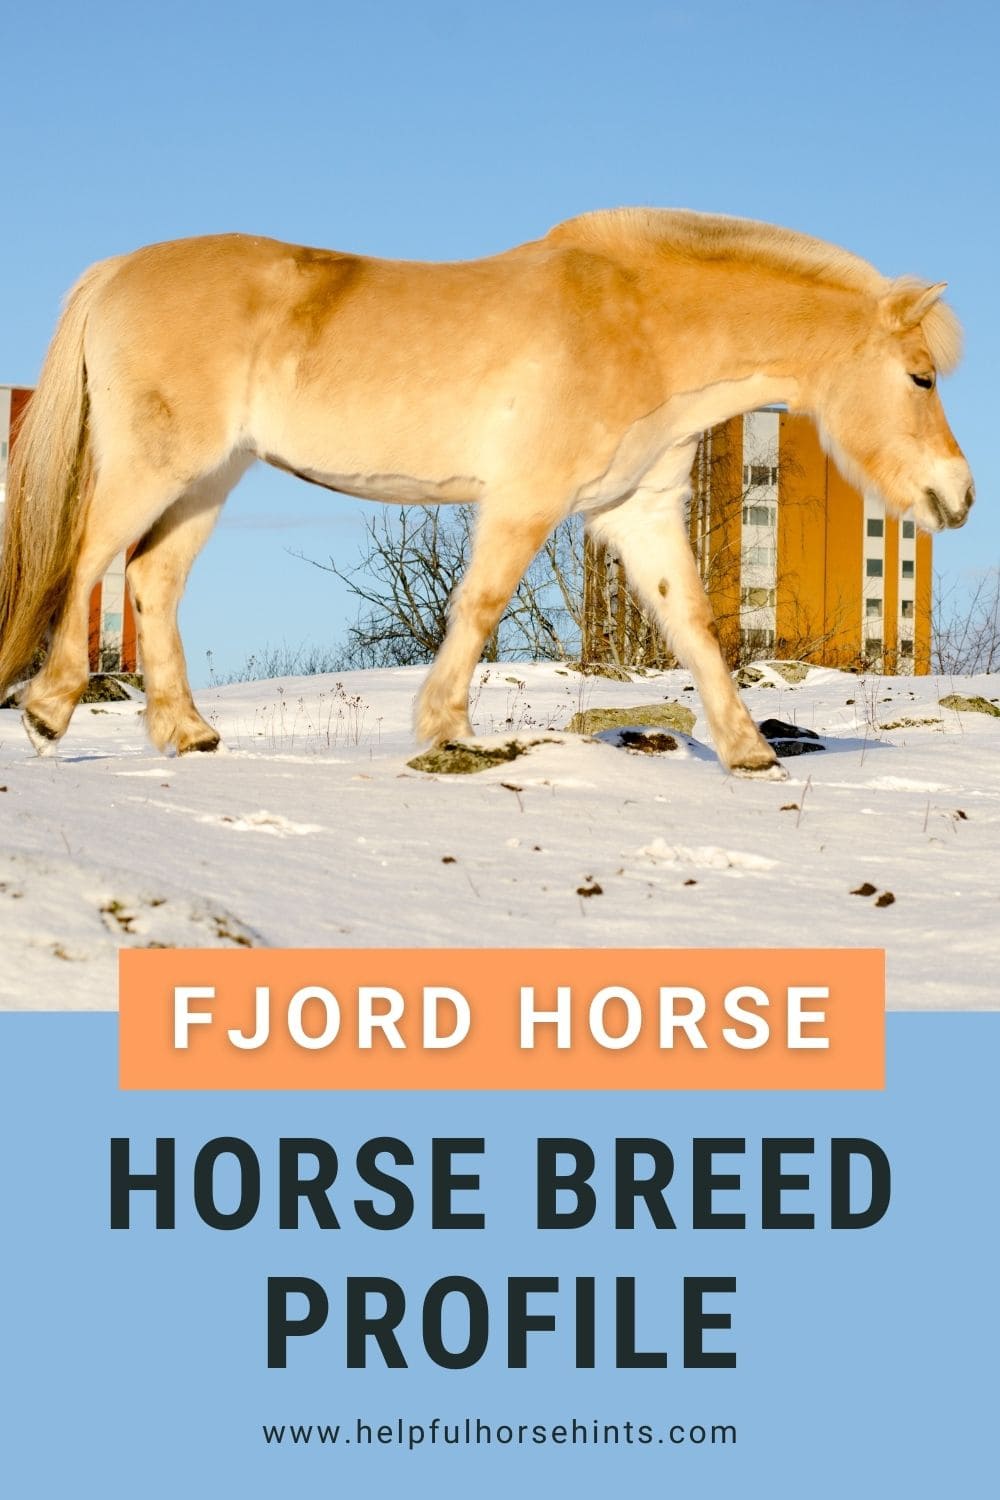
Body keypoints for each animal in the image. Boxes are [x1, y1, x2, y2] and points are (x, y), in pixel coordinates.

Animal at [0, 208, 972, 776]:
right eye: (920, 377)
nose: (956, 495)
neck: (641, 323)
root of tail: (117, 269)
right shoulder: (527, 498)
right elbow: (481, 602)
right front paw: (446, 727)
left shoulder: (638, 512)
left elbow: (693, 624)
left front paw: (747, 752)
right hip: (157, 466)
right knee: (88, 559)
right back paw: (49, 712)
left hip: (211, 477)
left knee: (151, 578)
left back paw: (188, 733)